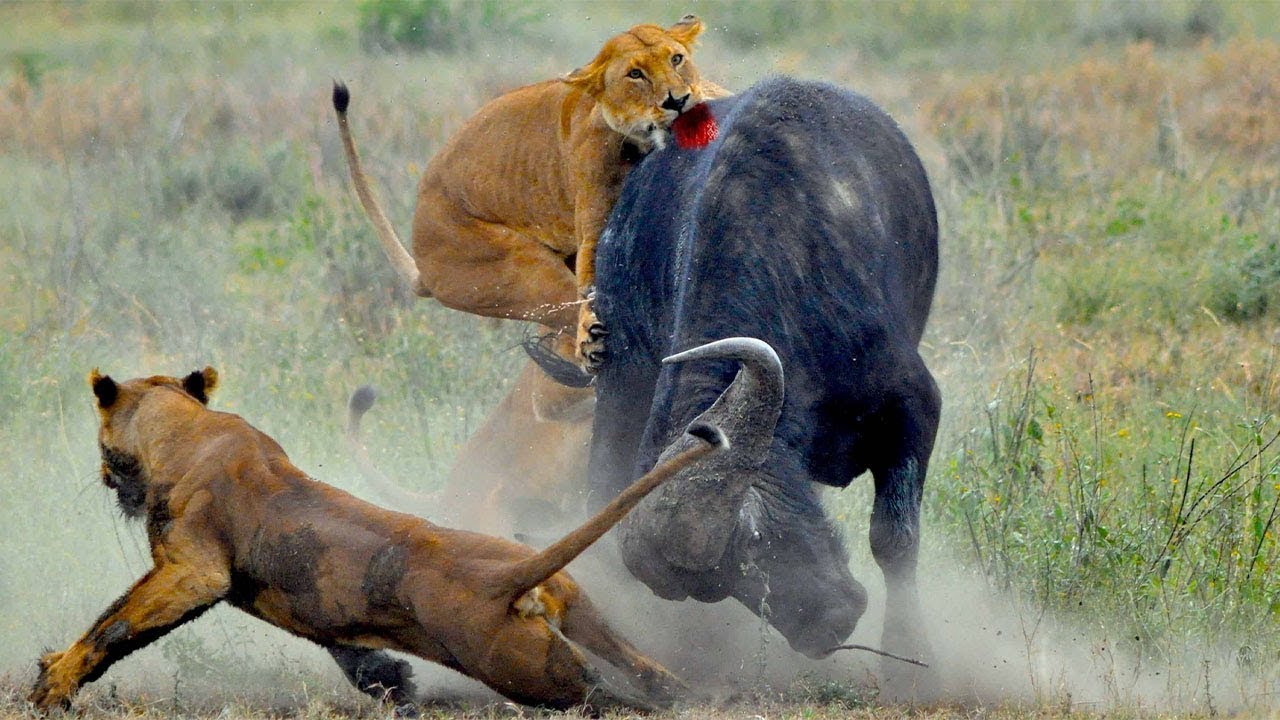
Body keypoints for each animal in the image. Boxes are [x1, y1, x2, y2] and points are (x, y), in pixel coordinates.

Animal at [29, 367, 726, 713]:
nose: (103, 475)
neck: (183, 430)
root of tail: (507, 578)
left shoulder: (194, 571)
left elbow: (115, 625)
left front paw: (53, 683)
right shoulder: (301, 601)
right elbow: (342, 642)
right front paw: (392, 682)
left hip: (531, 673)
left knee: (611, 697)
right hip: (582, 613)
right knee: (646, 669)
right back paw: (689, 690)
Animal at [333, 14, 725, 371]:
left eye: (677, 59)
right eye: (635, 75)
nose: (677, 101)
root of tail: (420, 258)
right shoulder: (595, 226)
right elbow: (590, 283)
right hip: (519, 271)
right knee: (565, 310)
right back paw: (587, 347)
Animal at [538, 76, 941, 678]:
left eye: (749, 539)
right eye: (718, 589)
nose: (827, 628)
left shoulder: (914, 408)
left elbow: (894, 538)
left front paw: (908, 658)